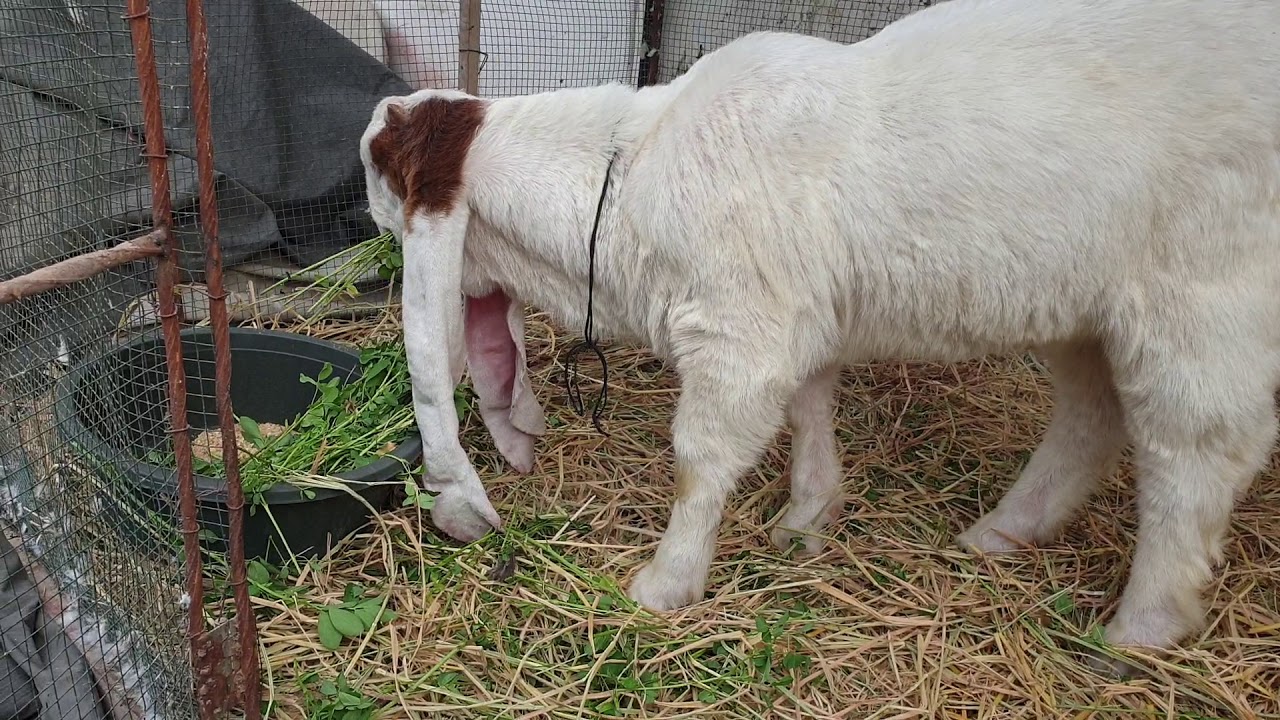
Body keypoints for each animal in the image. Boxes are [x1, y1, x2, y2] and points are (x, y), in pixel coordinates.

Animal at [359, 0, 1280, 671]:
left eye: (382, 182)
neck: (629, 174)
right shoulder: (795, 318)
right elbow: (808, 410)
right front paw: (808, 518)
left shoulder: (737, 334)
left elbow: (701, 460)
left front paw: (665, 583)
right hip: (1089, 307)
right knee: (1093, 418)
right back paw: (1005, 533)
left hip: (1202, 301)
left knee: (1195, 456)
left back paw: (1140, 630)